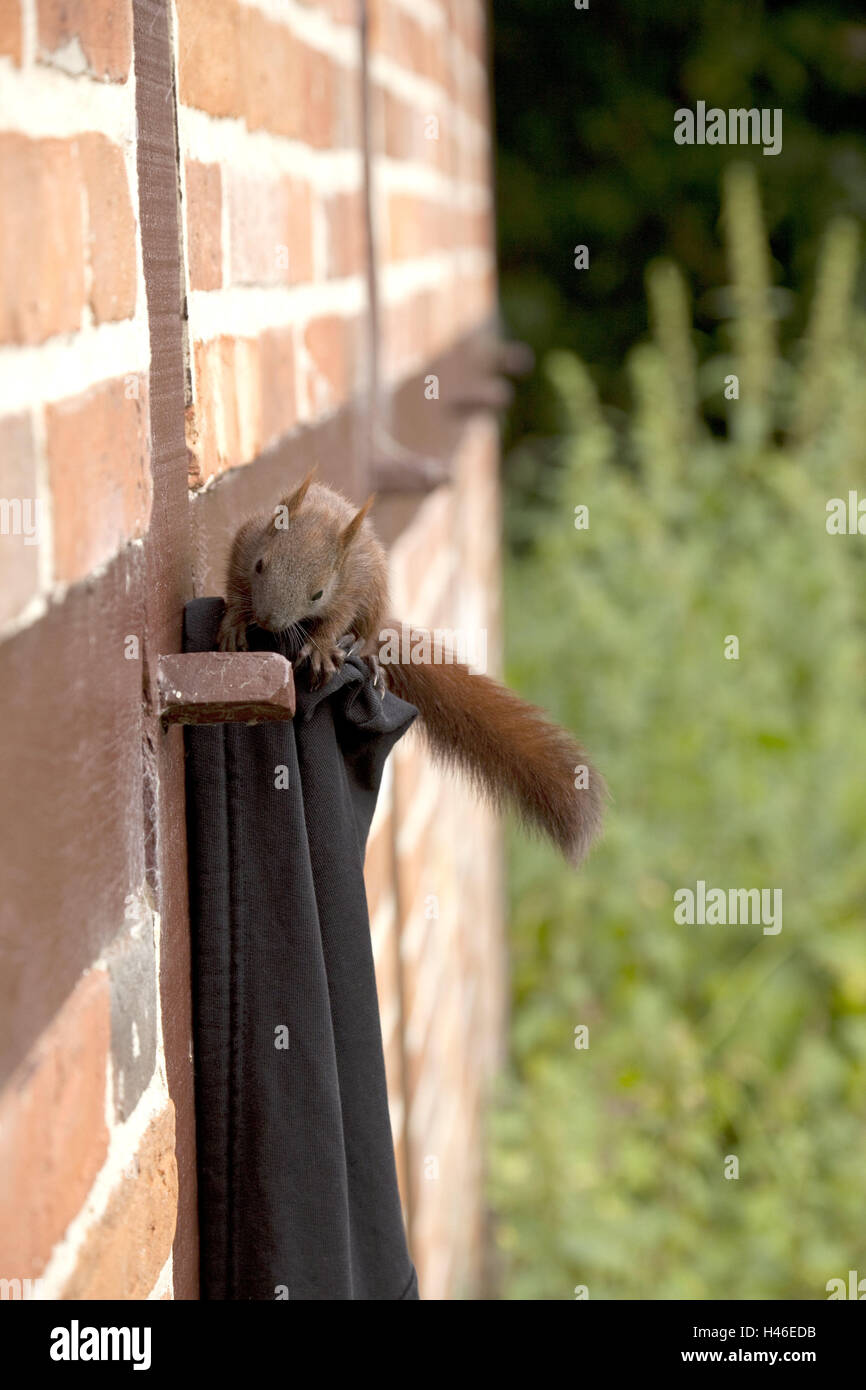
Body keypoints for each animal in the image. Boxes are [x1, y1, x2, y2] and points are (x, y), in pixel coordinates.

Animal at [218, 468, 605, 865]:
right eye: (261, 565)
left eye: (317, 594)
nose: (268, 621)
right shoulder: (245, 542)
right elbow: (235, 585)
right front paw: (234, 621)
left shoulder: (349, 590)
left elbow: (335, 619)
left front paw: (322, 648)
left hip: (375, 594)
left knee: (367, 633)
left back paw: (364, 653)